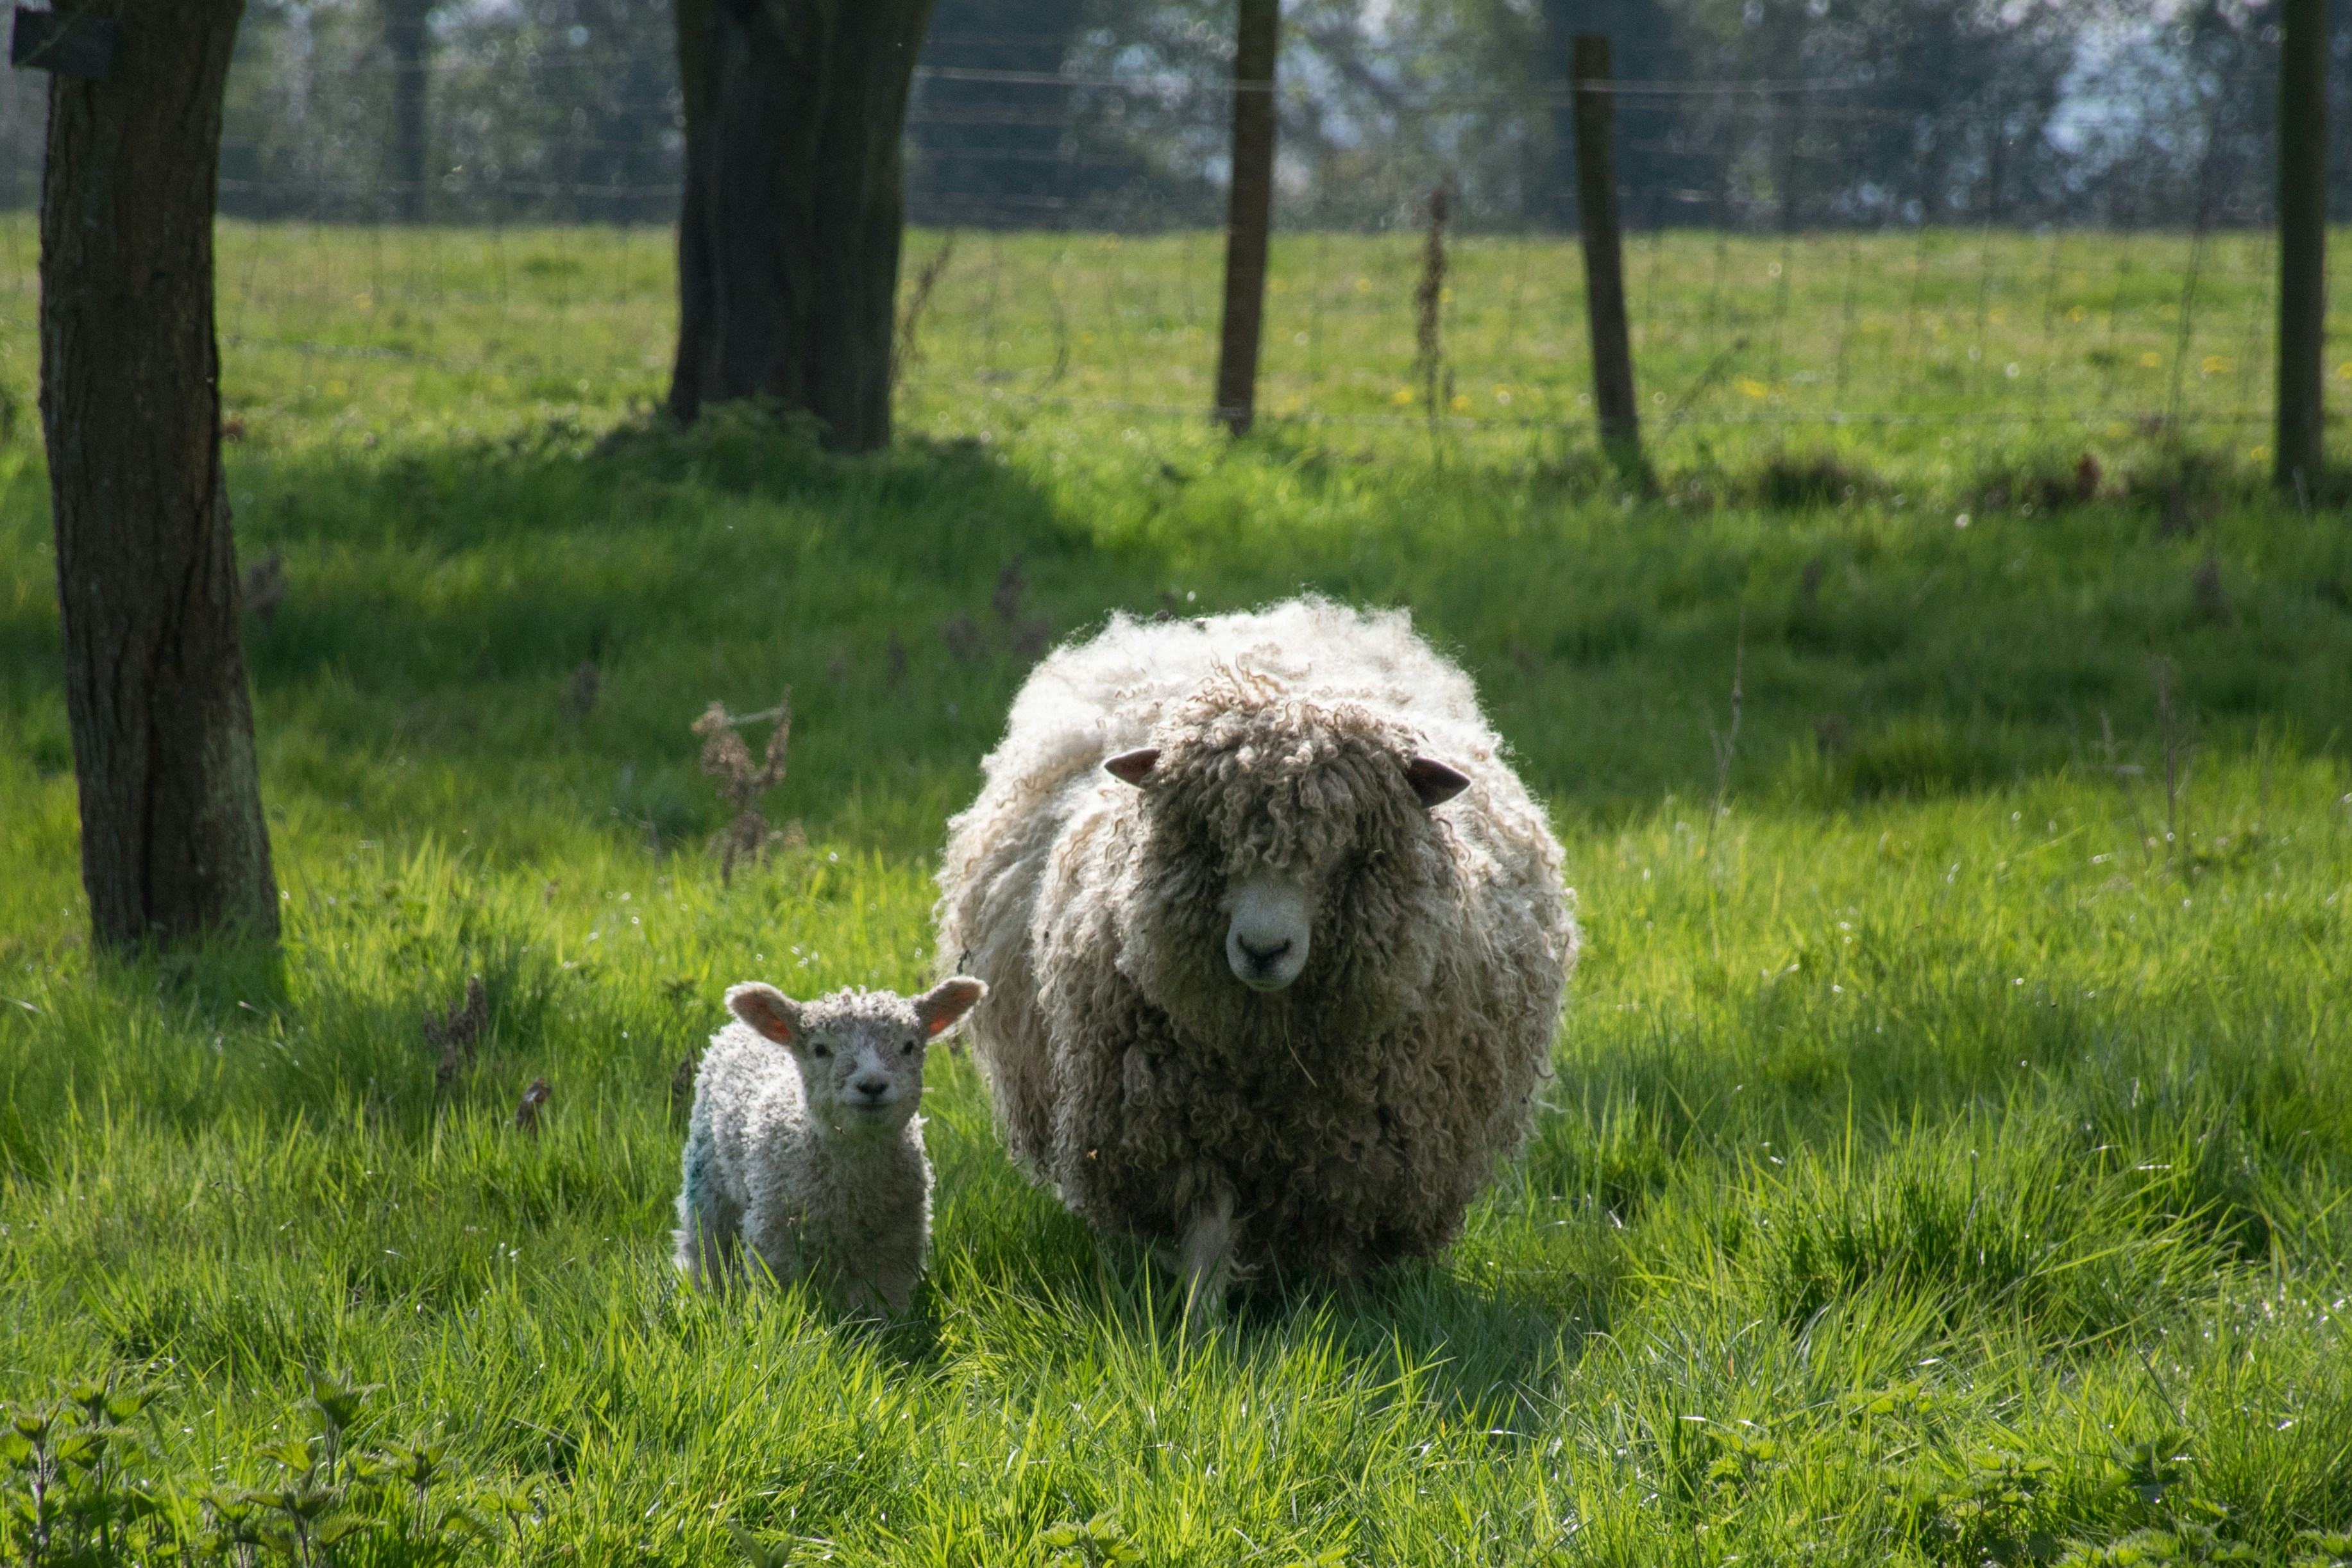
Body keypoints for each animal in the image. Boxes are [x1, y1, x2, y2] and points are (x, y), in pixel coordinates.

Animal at [674, 976, 986, 1314]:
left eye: (908, 1046)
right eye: (821, 1049)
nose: (872, 1085)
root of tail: (733, 1030)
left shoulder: (896, 1247)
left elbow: (880, 1309)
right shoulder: (775, 1242)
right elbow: (780, 1300)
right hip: (708, 1185)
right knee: (707, 1250)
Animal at [935, 596, 1577, 1310]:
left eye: (1343, 849)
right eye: (1211, 840)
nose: (1262, 950)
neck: (1271, 1052)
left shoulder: (1356, 1164)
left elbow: (1335, 1253)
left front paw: (1332, 1316)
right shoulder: (1184, 1138)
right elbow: (1207, 1237)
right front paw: (1198, 1327)